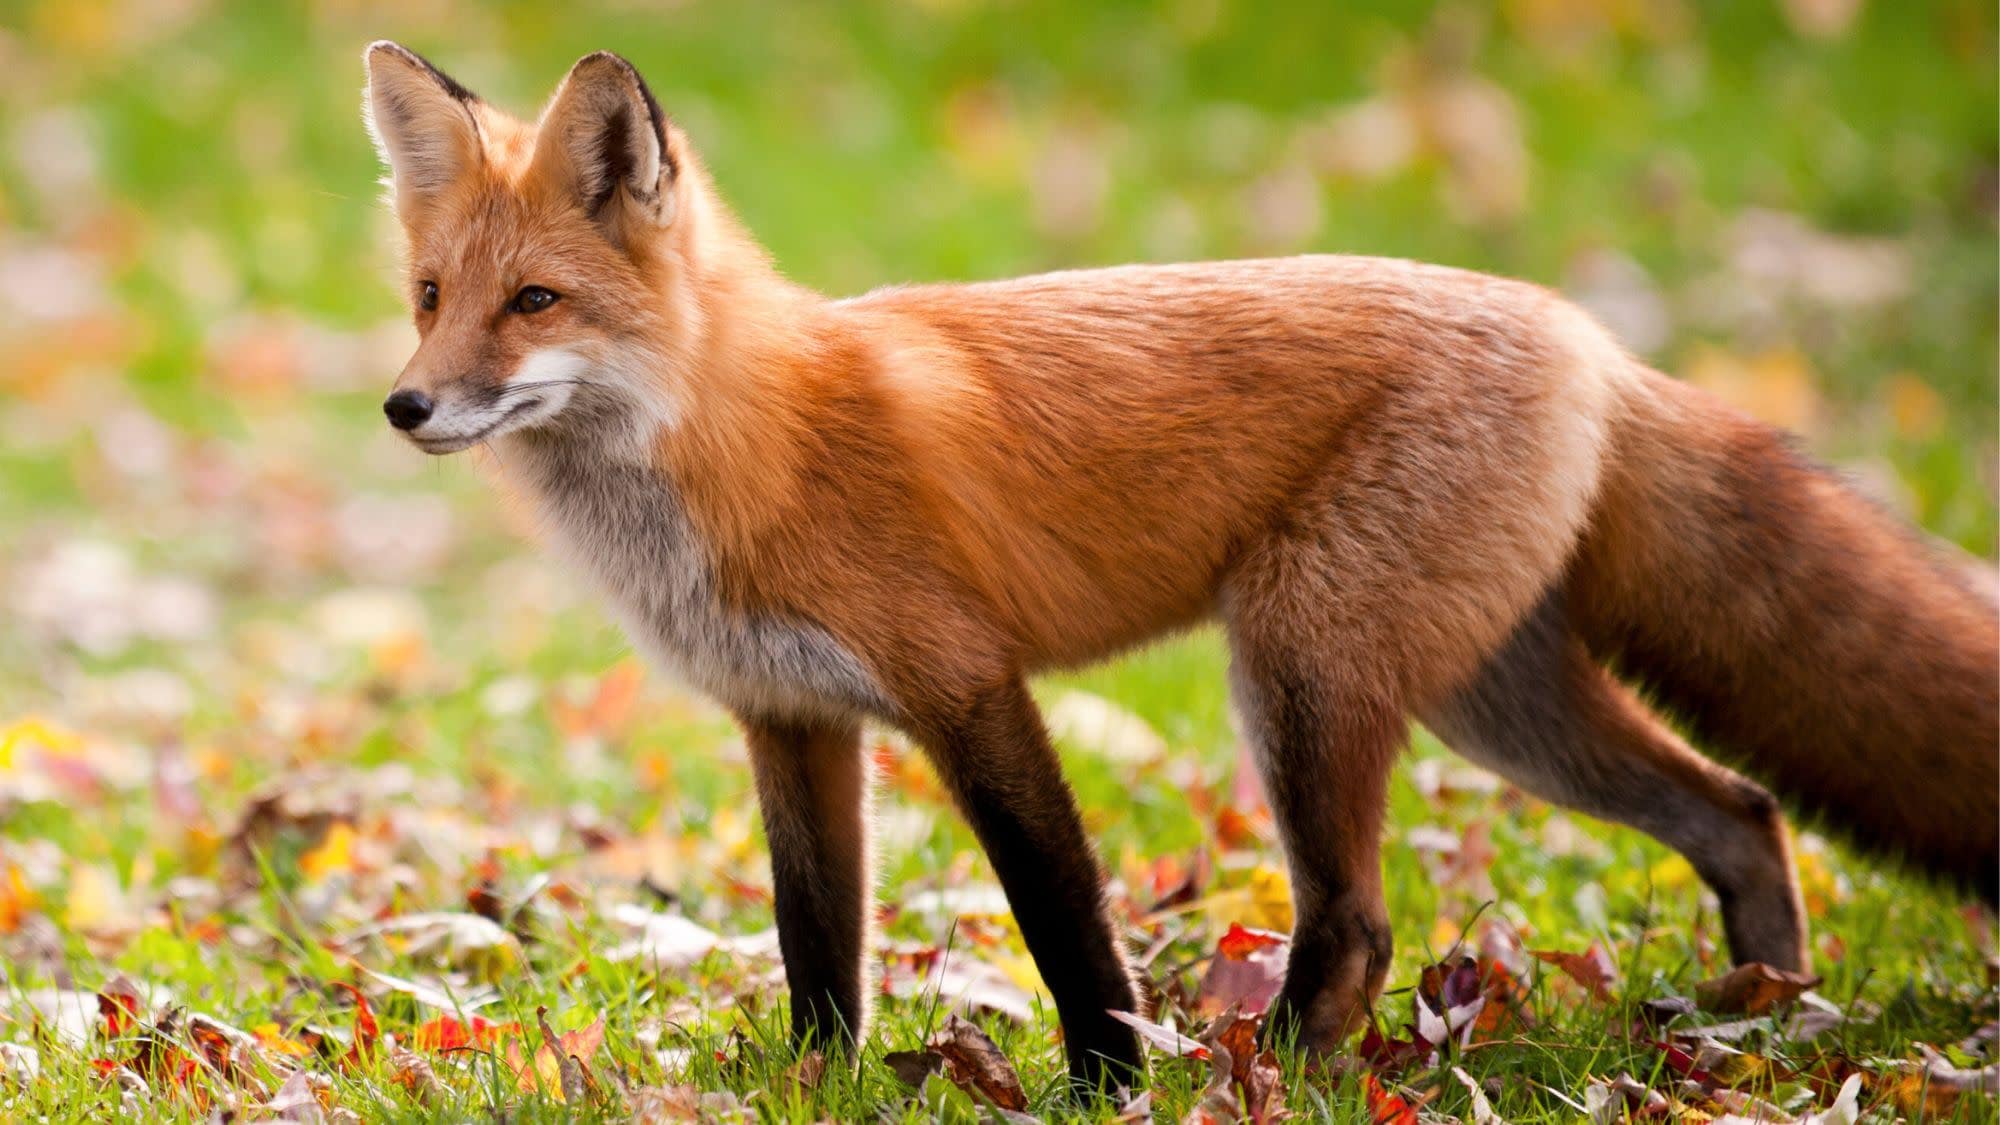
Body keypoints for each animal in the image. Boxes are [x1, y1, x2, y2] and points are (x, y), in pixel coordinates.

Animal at [361, 42, 1998, 1093]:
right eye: (432, 296)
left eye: (534, 301)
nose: (406, 407)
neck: (737, 440)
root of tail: (1585, 334)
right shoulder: (792, 719)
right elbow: (816, 938)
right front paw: (818, 1086)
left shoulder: (967, 686)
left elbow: (1060, 913)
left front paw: (1106, 1081)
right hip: (1492, 704)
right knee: (1740, 810)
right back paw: (1761, 1014)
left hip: (1300, 672)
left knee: (1360, 924)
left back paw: (1266, 1074)